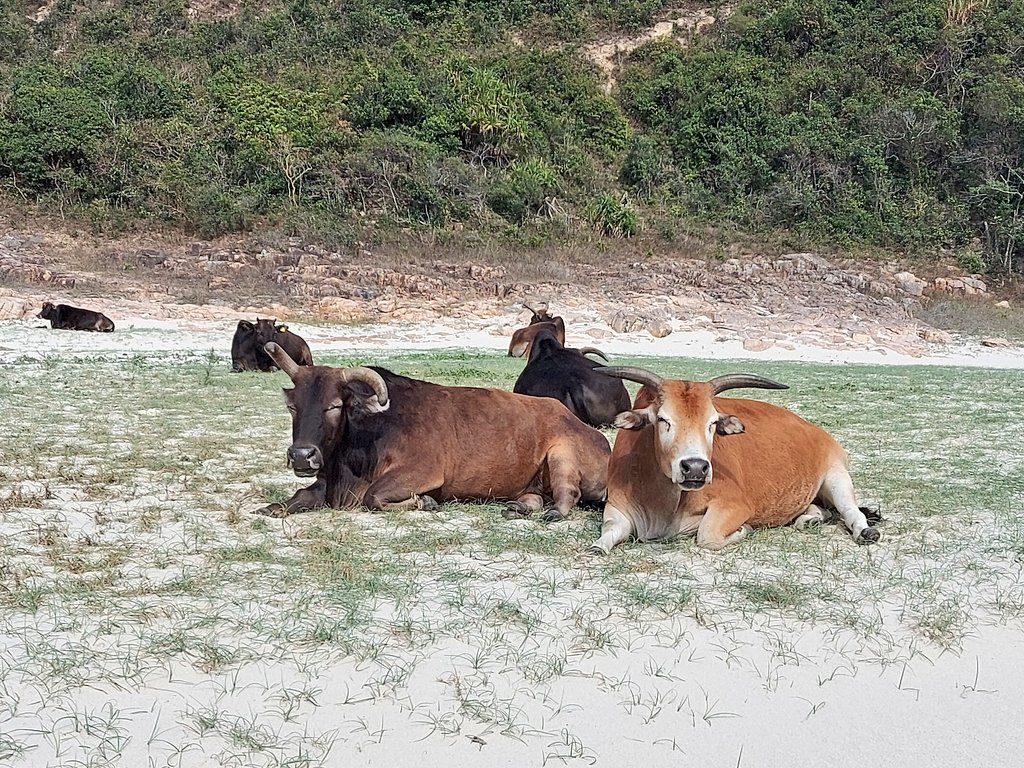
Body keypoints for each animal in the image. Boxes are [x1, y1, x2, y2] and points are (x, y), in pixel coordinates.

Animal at [256, 342, 610, 521]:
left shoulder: (422, 471)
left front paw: (424, 503)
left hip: (562, 454)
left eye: (333, 406)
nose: (301, 455)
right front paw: (274, 506)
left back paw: (552, 512)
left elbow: (374, 498)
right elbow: (300, 496)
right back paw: (518, 507)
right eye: (293, 407)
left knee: (568, 495)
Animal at [586, 366, 880, 554]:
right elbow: (608, 532)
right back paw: (810, 519)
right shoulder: (616, 507)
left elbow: (707, 536)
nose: (695, 468)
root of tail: (815, 430)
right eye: (662, 419)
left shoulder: (735, 505)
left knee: (851, 511)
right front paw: (598, 547)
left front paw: (743, 530)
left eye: (713, 422)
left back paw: (865, 531)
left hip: (837, 476)